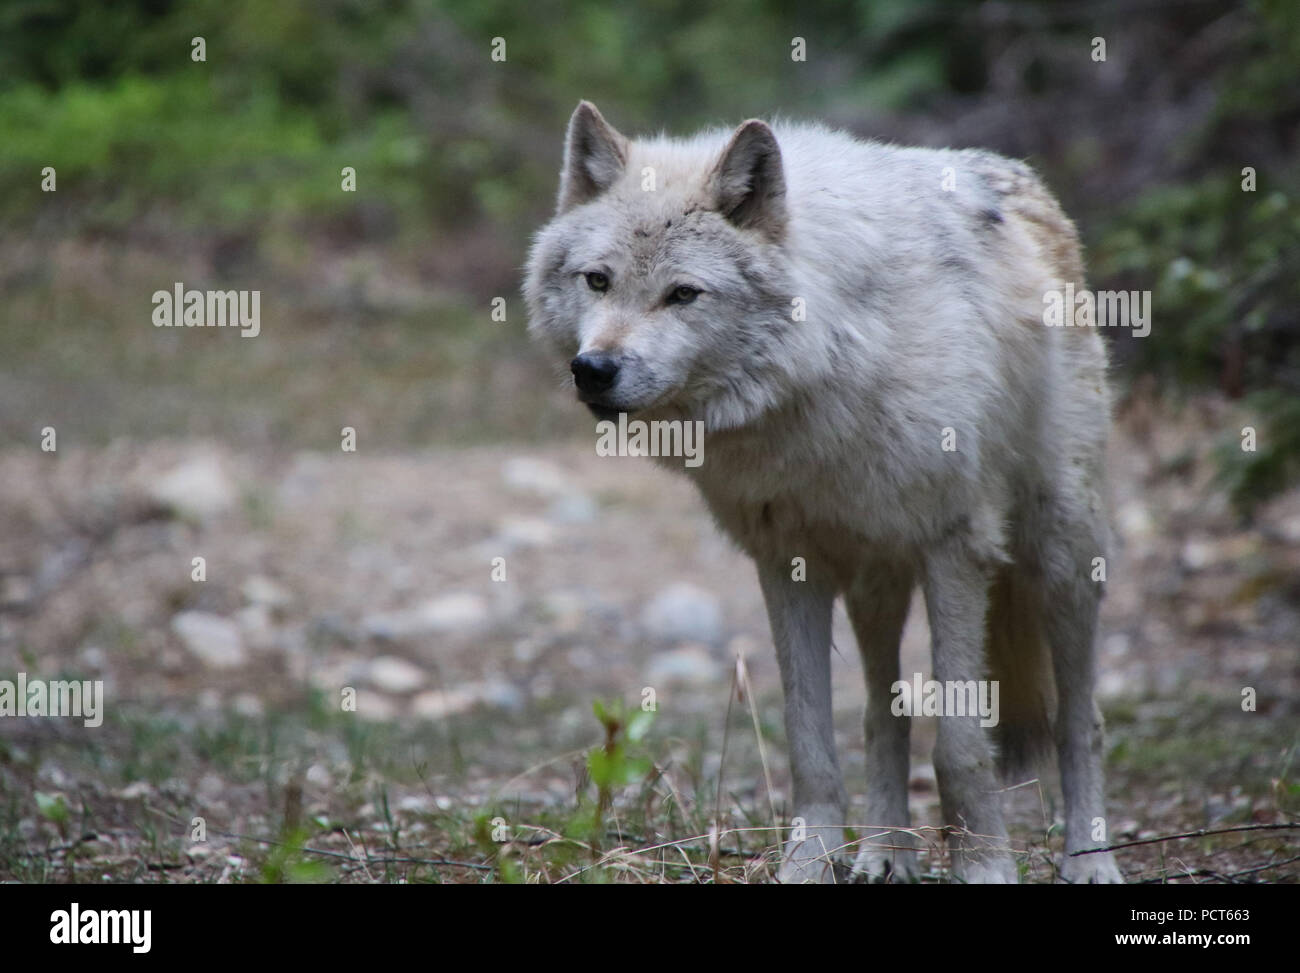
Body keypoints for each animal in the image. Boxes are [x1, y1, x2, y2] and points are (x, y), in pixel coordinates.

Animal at [524, 101, 1123, 884]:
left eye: (683, 294)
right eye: (597, 280)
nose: (594, 368)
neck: (825, 374)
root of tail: (1029, 184)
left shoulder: (955, 548)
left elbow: (962, 747)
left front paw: (986, 866)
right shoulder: (785, 564)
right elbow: (810, 742)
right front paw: (808, 863)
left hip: (1060, 554)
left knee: (1081, 721)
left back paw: (1090, 858)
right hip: (876, 577)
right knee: (883, 714)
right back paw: (885, 853)